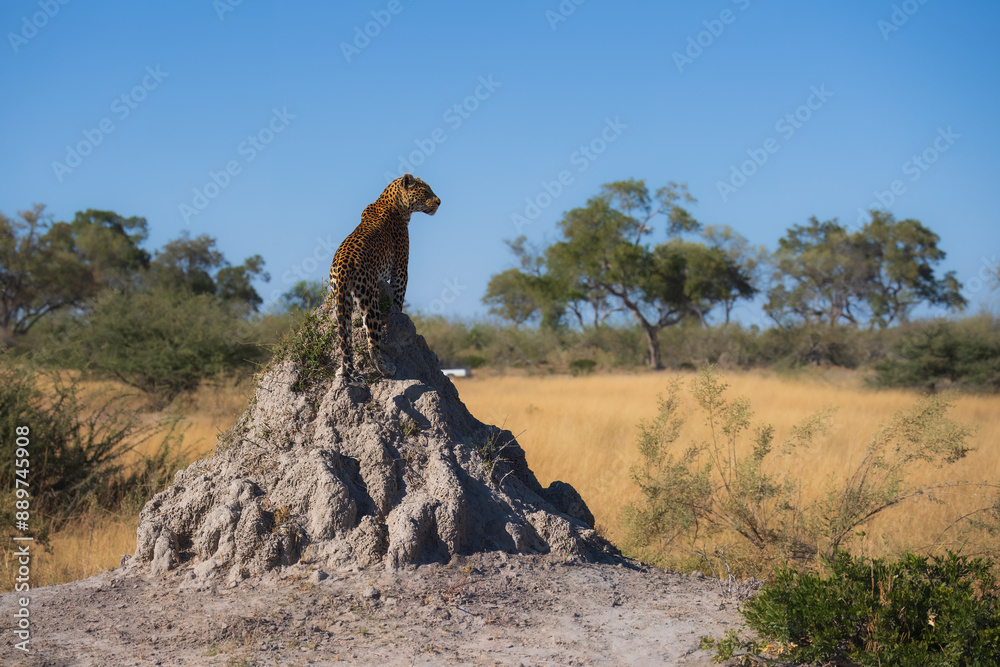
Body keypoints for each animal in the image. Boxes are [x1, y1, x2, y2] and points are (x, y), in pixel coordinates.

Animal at [328, 173, 440, 380]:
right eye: (425, 191)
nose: (439, 201)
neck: (394, 203)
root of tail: (341, 267)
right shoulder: (401, 269)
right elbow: (398, 299)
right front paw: (399, 315)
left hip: (342, 303)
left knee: (345, 340)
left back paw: (343, 370)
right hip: (370, 301)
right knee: (372, 343)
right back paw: (386, 370)